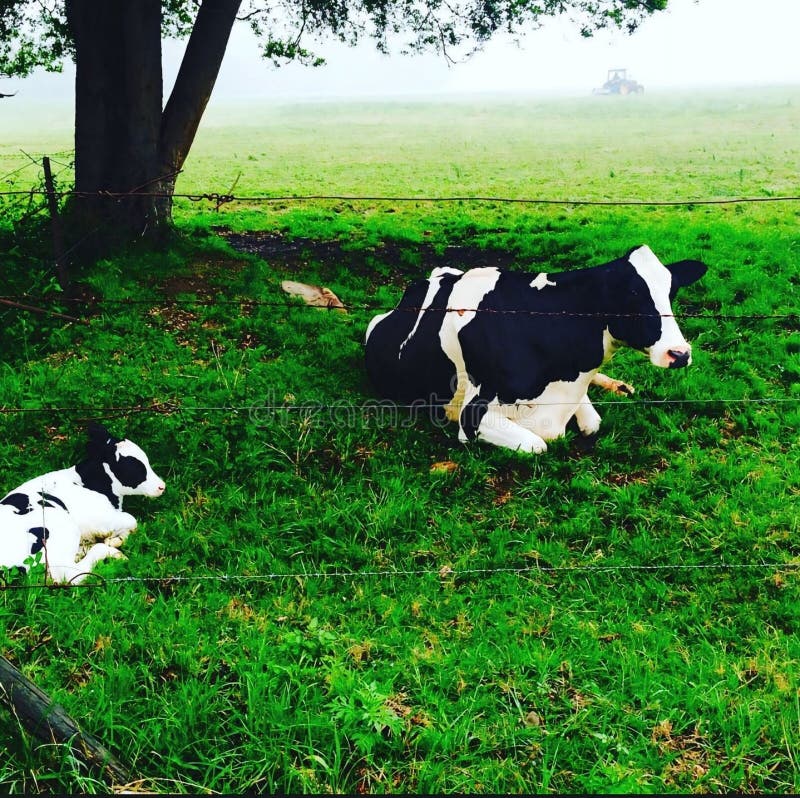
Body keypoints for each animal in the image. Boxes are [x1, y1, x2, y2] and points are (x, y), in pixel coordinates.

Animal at [0, 423, 165, 584]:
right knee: (68, 575)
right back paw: (112, 553)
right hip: (61, 525)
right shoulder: (100, 518)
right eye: (134, 466)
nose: (162, 486)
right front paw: (113, 541)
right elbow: (132, 520)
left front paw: (114, 539)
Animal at [365, 245, 707, 454]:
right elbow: (537, 445)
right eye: (632, 293)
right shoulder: (472, 414)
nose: (679, 353)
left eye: (672, 292)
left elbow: (592, 423)